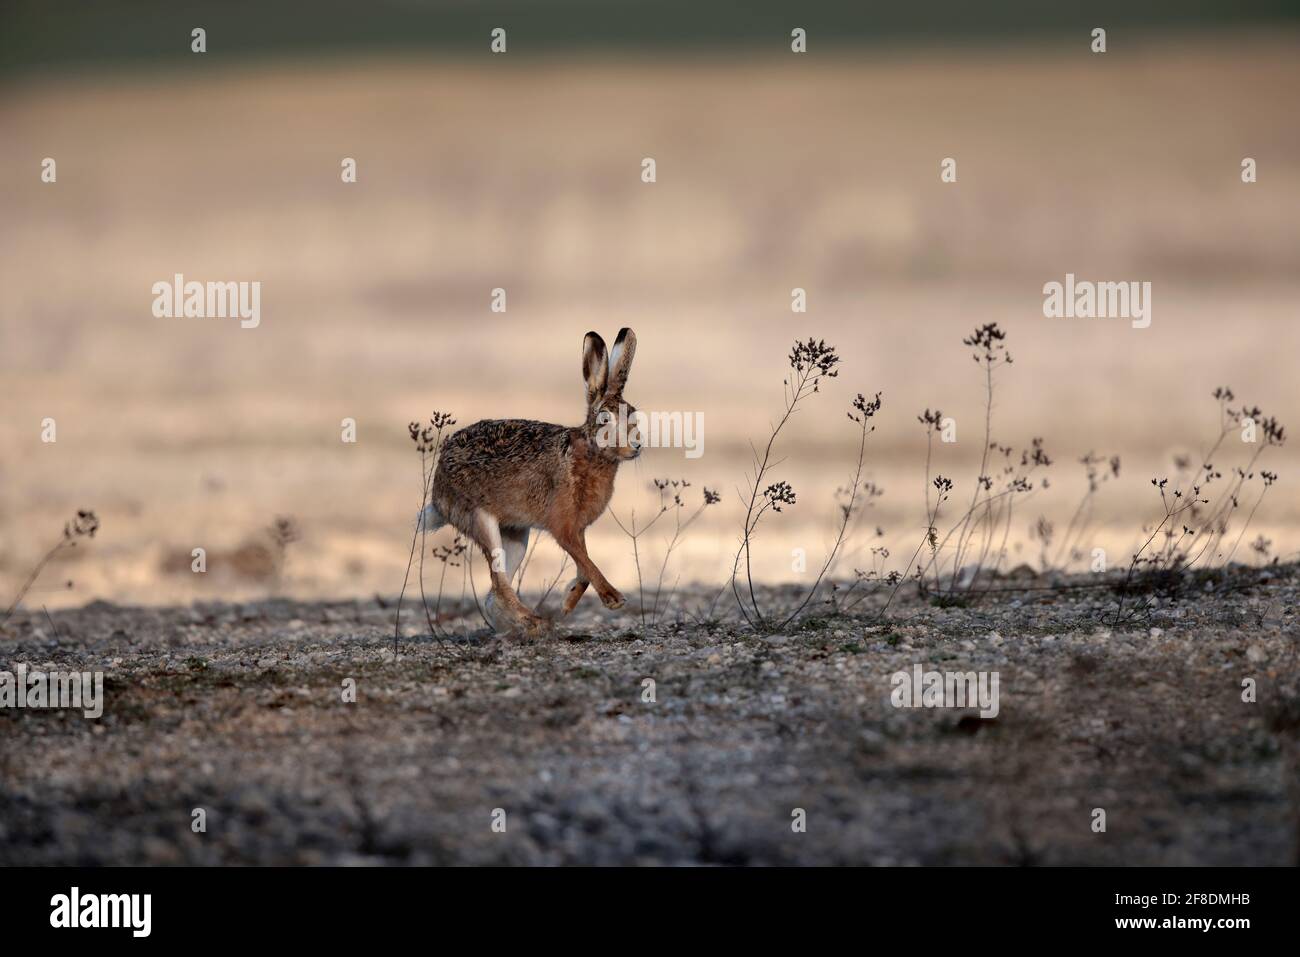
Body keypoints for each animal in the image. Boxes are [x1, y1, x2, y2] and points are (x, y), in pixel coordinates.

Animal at [421, 328, 641, 633]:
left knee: (494, 594)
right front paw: (613, 599)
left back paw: (522, 626)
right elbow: (586, 562)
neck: (588, 451)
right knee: (499, 586)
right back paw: (535, 621)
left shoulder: (578, 529)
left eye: (633, 416)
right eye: (605, 419)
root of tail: (437, 491)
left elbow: (584, 568)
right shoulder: (563, 527)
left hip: (516, 535)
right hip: (479, 519)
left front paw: (567, 602)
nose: (636, 448)